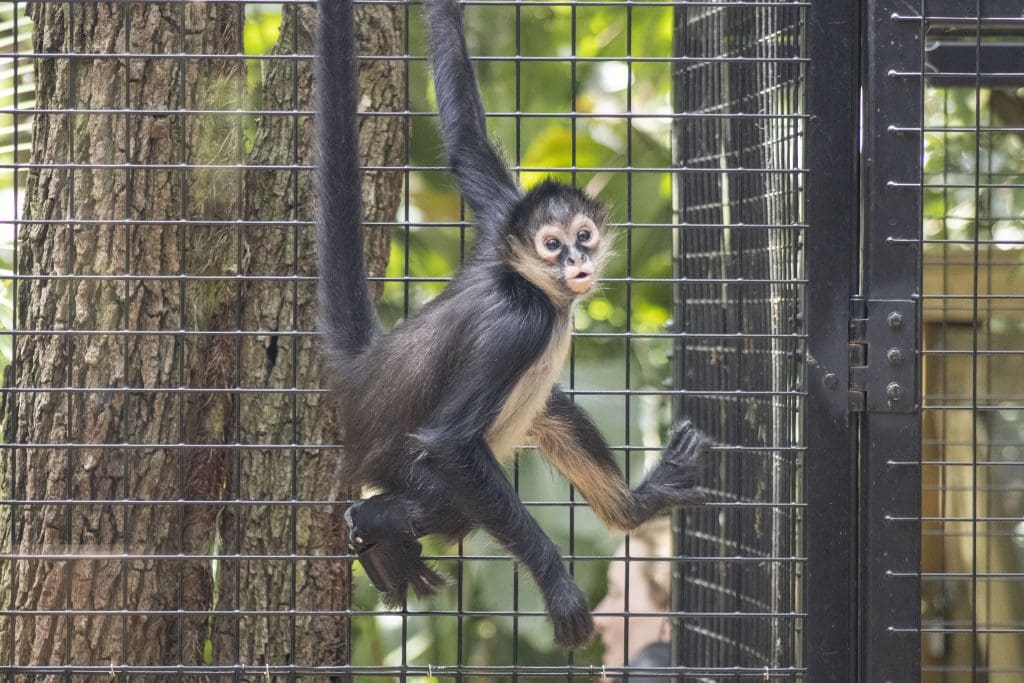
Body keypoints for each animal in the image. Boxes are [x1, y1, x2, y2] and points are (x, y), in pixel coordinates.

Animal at [315, 0, 710, 649]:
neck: (530, 284)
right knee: (447, 494)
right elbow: (450, 441)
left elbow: (465, 143)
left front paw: (445, 12)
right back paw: (378, 523)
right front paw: (559, 585)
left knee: (550, 406)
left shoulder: (504, 213)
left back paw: (633, 508)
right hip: (407, 468)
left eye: (583, 236)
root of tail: (367, 371)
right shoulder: (520, 325)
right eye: (552, 245)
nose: (575, 263)